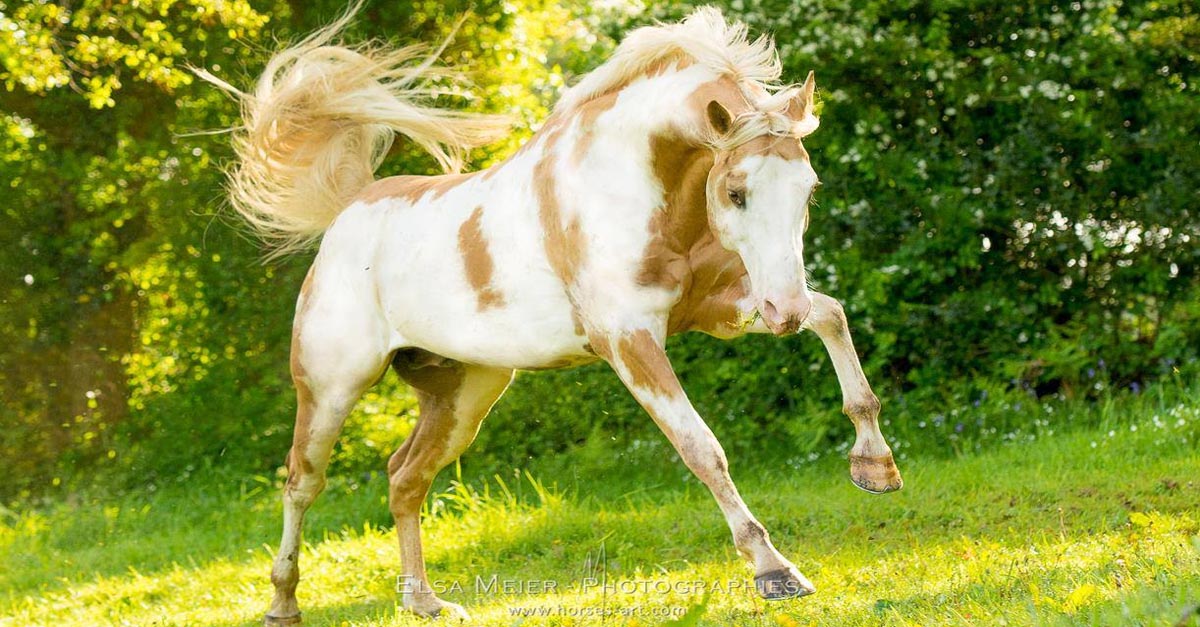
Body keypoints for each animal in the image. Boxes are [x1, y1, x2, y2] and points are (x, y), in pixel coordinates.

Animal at [200, 5, 903, 624]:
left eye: (808, 189)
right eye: (736, 192)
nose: (783, 309)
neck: (635, 185)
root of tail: (350, 212)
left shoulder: (720, 309)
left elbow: (833, 316)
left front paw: (875, 467)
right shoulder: (629, 340)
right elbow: (702, 448)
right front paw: (775, 571)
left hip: (462, 395)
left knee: (404, 478)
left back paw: (426, 603)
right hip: (331, 387)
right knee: (301, 482)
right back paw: (283, 605)